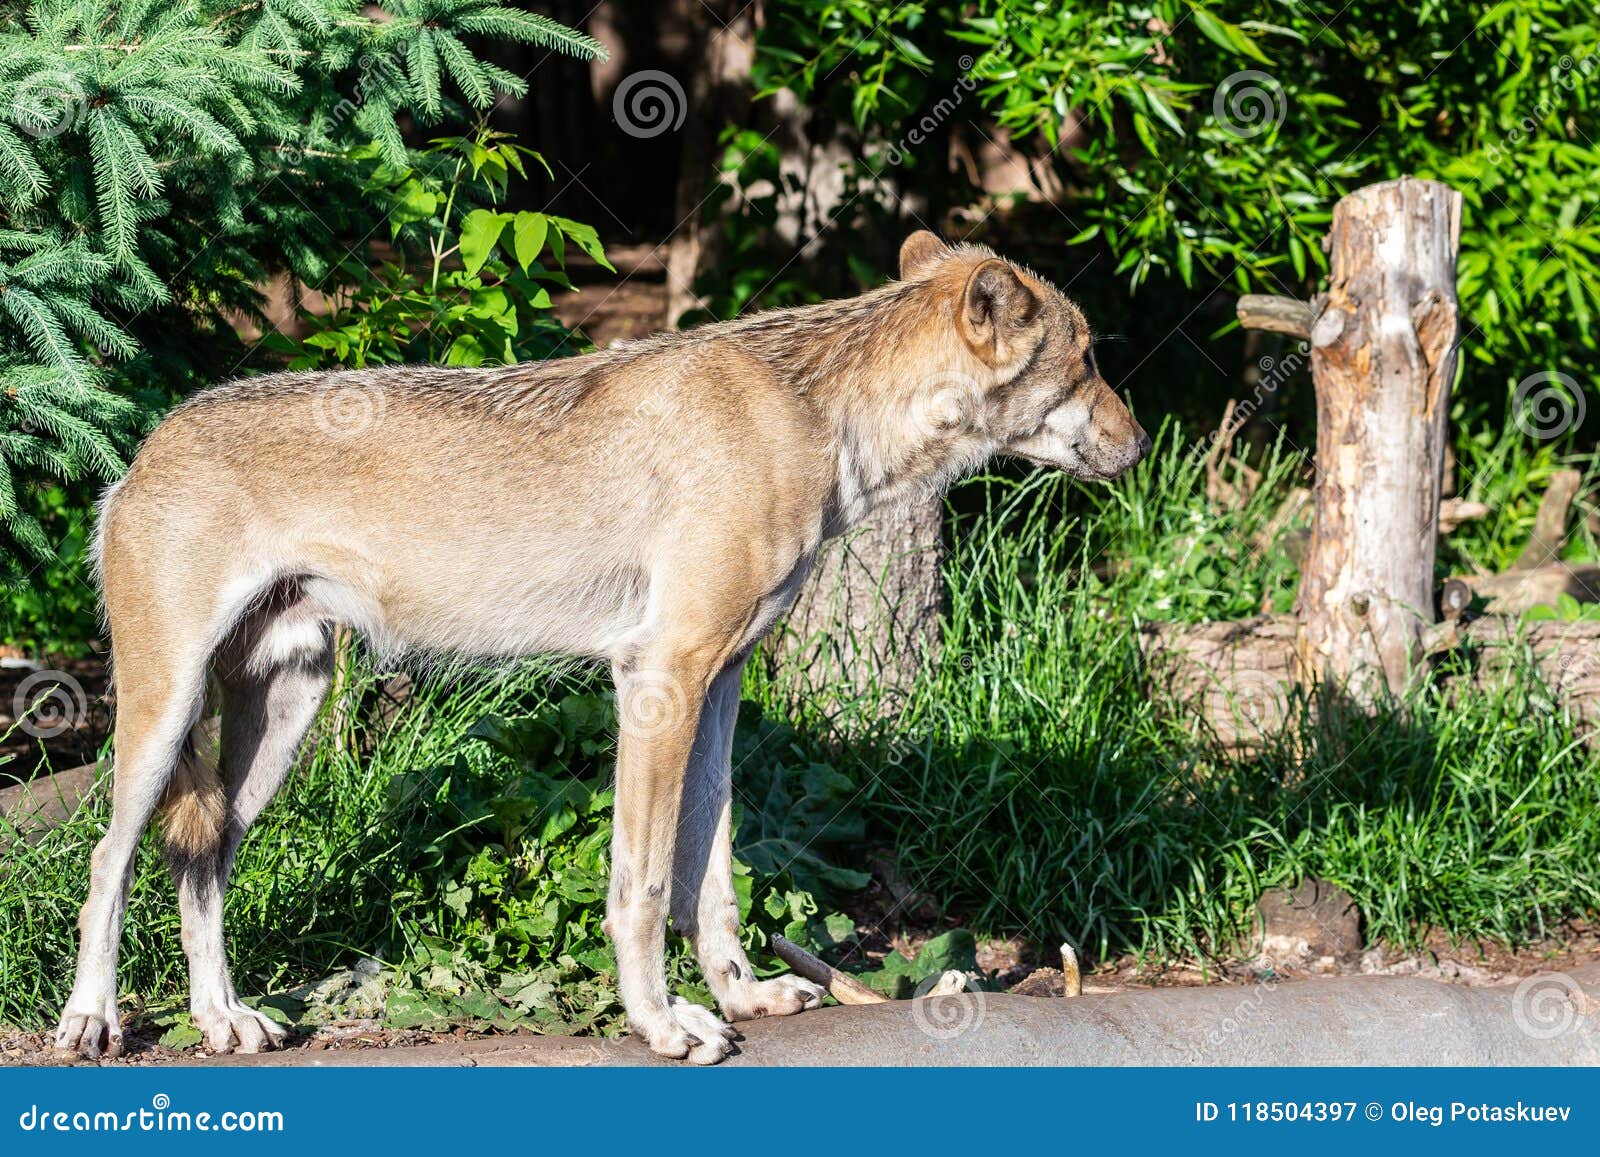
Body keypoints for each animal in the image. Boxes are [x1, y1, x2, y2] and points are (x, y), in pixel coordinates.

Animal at [54, 231, 1148, 1064]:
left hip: (283, 714)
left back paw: (222, 1019)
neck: (820, 422)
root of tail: (145, 443)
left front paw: (741, 998)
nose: (1140, 444)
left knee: (202, 864)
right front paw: (664, 1023)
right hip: (164, 717)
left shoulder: (717, 687)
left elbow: (713, 878)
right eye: (1092, 361)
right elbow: (646, 886)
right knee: (110, 860)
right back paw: (93, 1019)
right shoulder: (657, 680)